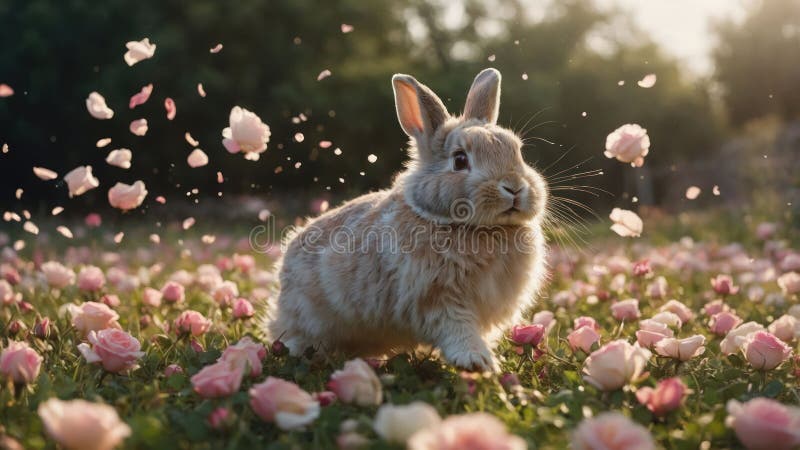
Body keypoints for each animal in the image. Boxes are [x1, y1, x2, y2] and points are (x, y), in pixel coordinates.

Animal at [267, 68, 548, 371]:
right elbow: (457, 328)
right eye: (460, 160)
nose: (514, 188)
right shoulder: (436, 298)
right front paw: (477, 361)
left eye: (517, 152)